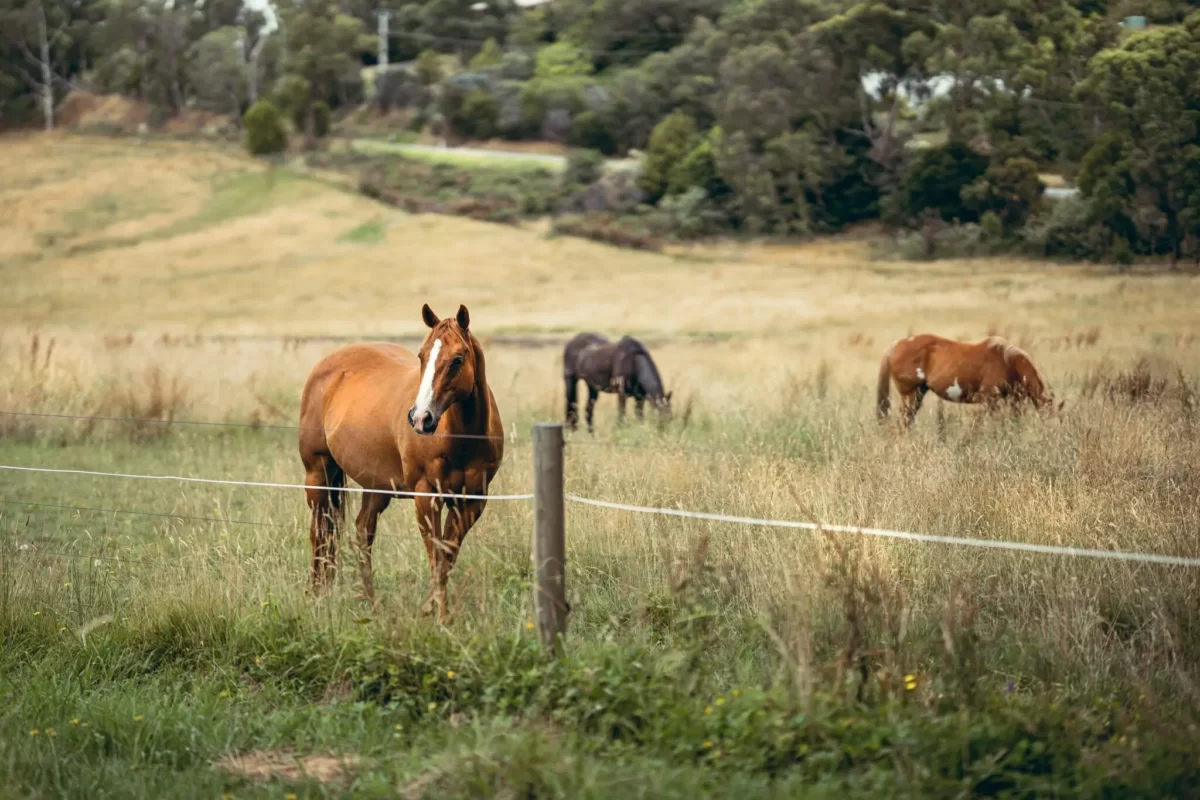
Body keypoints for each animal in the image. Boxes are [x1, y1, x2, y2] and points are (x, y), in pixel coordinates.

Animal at [298, 303, 503, 623]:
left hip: (375, 487)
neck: (462, 436)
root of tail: (327, 367)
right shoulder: (427, 496)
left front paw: (433, 609)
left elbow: (448, 555)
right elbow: (436, 556)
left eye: (457, 360)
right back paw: (318, 596)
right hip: (318, 476)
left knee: (362, 532)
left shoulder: (471, 501)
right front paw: (440, 616)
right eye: (421, 355)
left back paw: (370, 602)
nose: (421, 418)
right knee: (320, 534)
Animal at [876, 334, 1051, 427]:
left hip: (918, 395)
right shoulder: (990, 400)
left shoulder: (1014, 401)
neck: (1007, 361)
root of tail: (895, 346)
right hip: (910, 395)